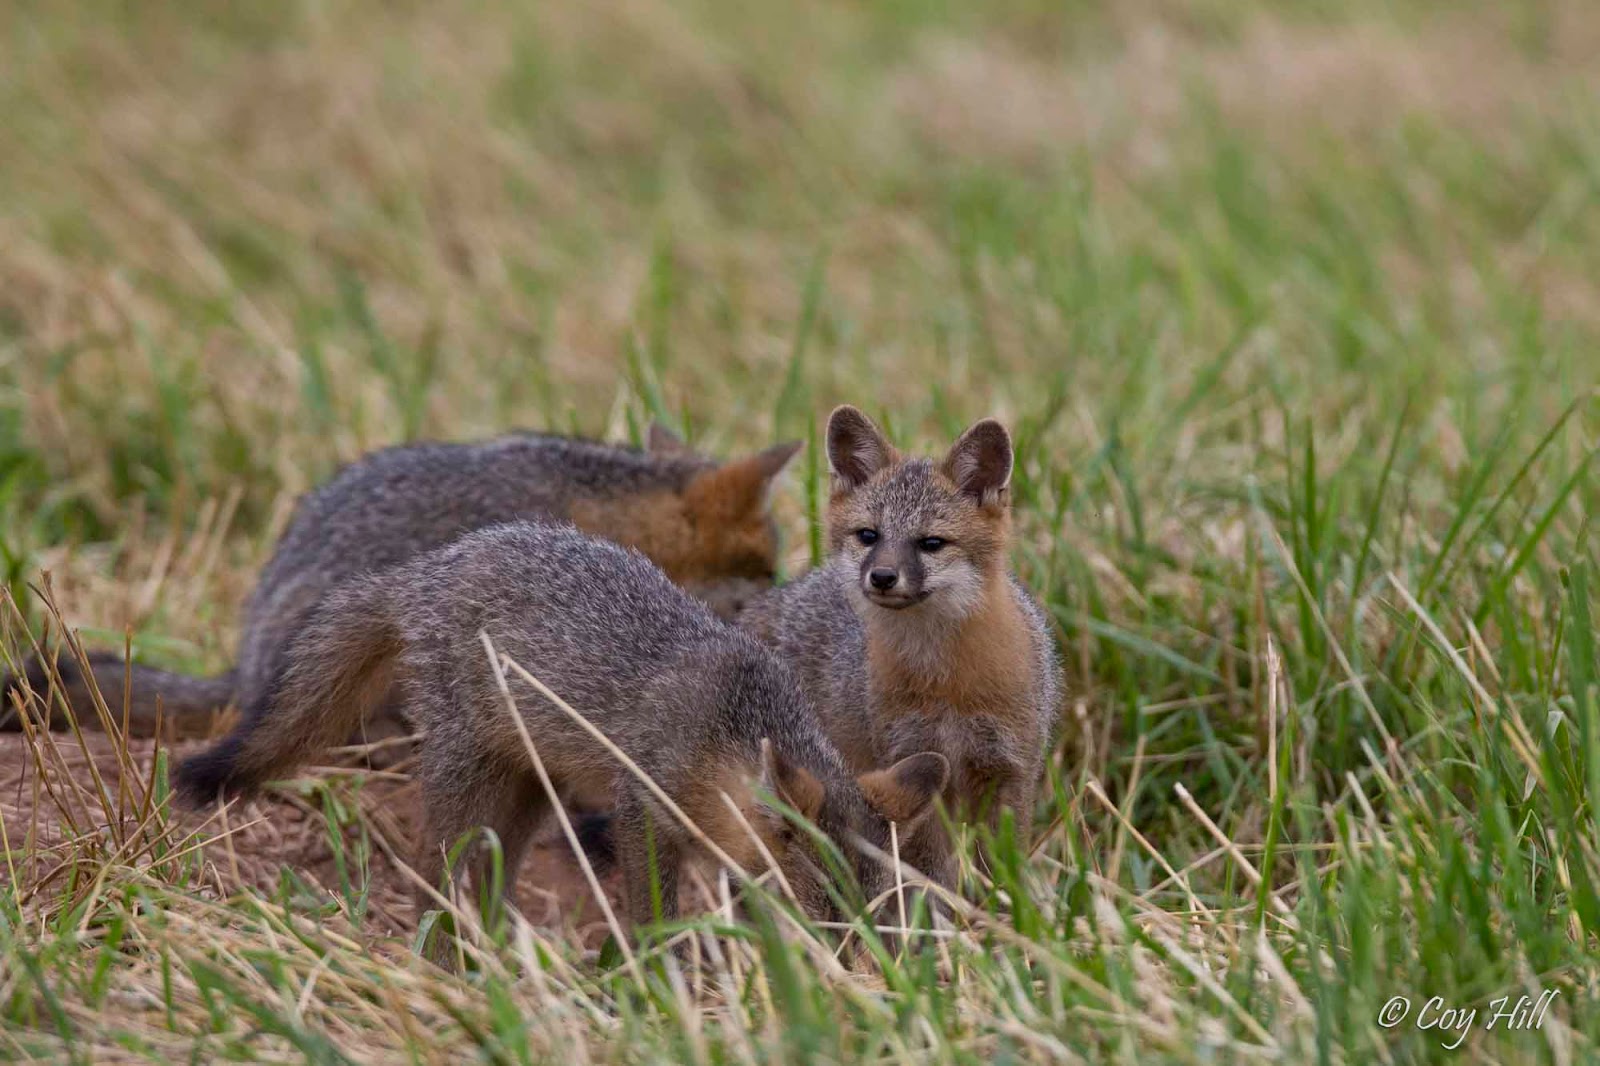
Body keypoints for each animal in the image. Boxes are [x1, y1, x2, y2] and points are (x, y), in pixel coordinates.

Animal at [173, 521, 949, 937]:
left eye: (885, 921)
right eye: (835, 916)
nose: (866, 980)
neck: (731, 717)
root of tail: (428, 568)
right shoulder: (643, 813)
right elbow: (654, 918)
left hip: (530, 790)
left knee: (484, 882)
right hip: (466, 773)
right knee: (432, 873)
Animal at [739, 406, 1061, 886]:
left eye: (931, 543)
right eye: (868, 536)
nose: (883, 577)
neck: (947, 681)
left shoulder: (1008, 772)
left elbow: (1001, 869)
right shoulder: (915, 764)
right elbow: (930, 868)